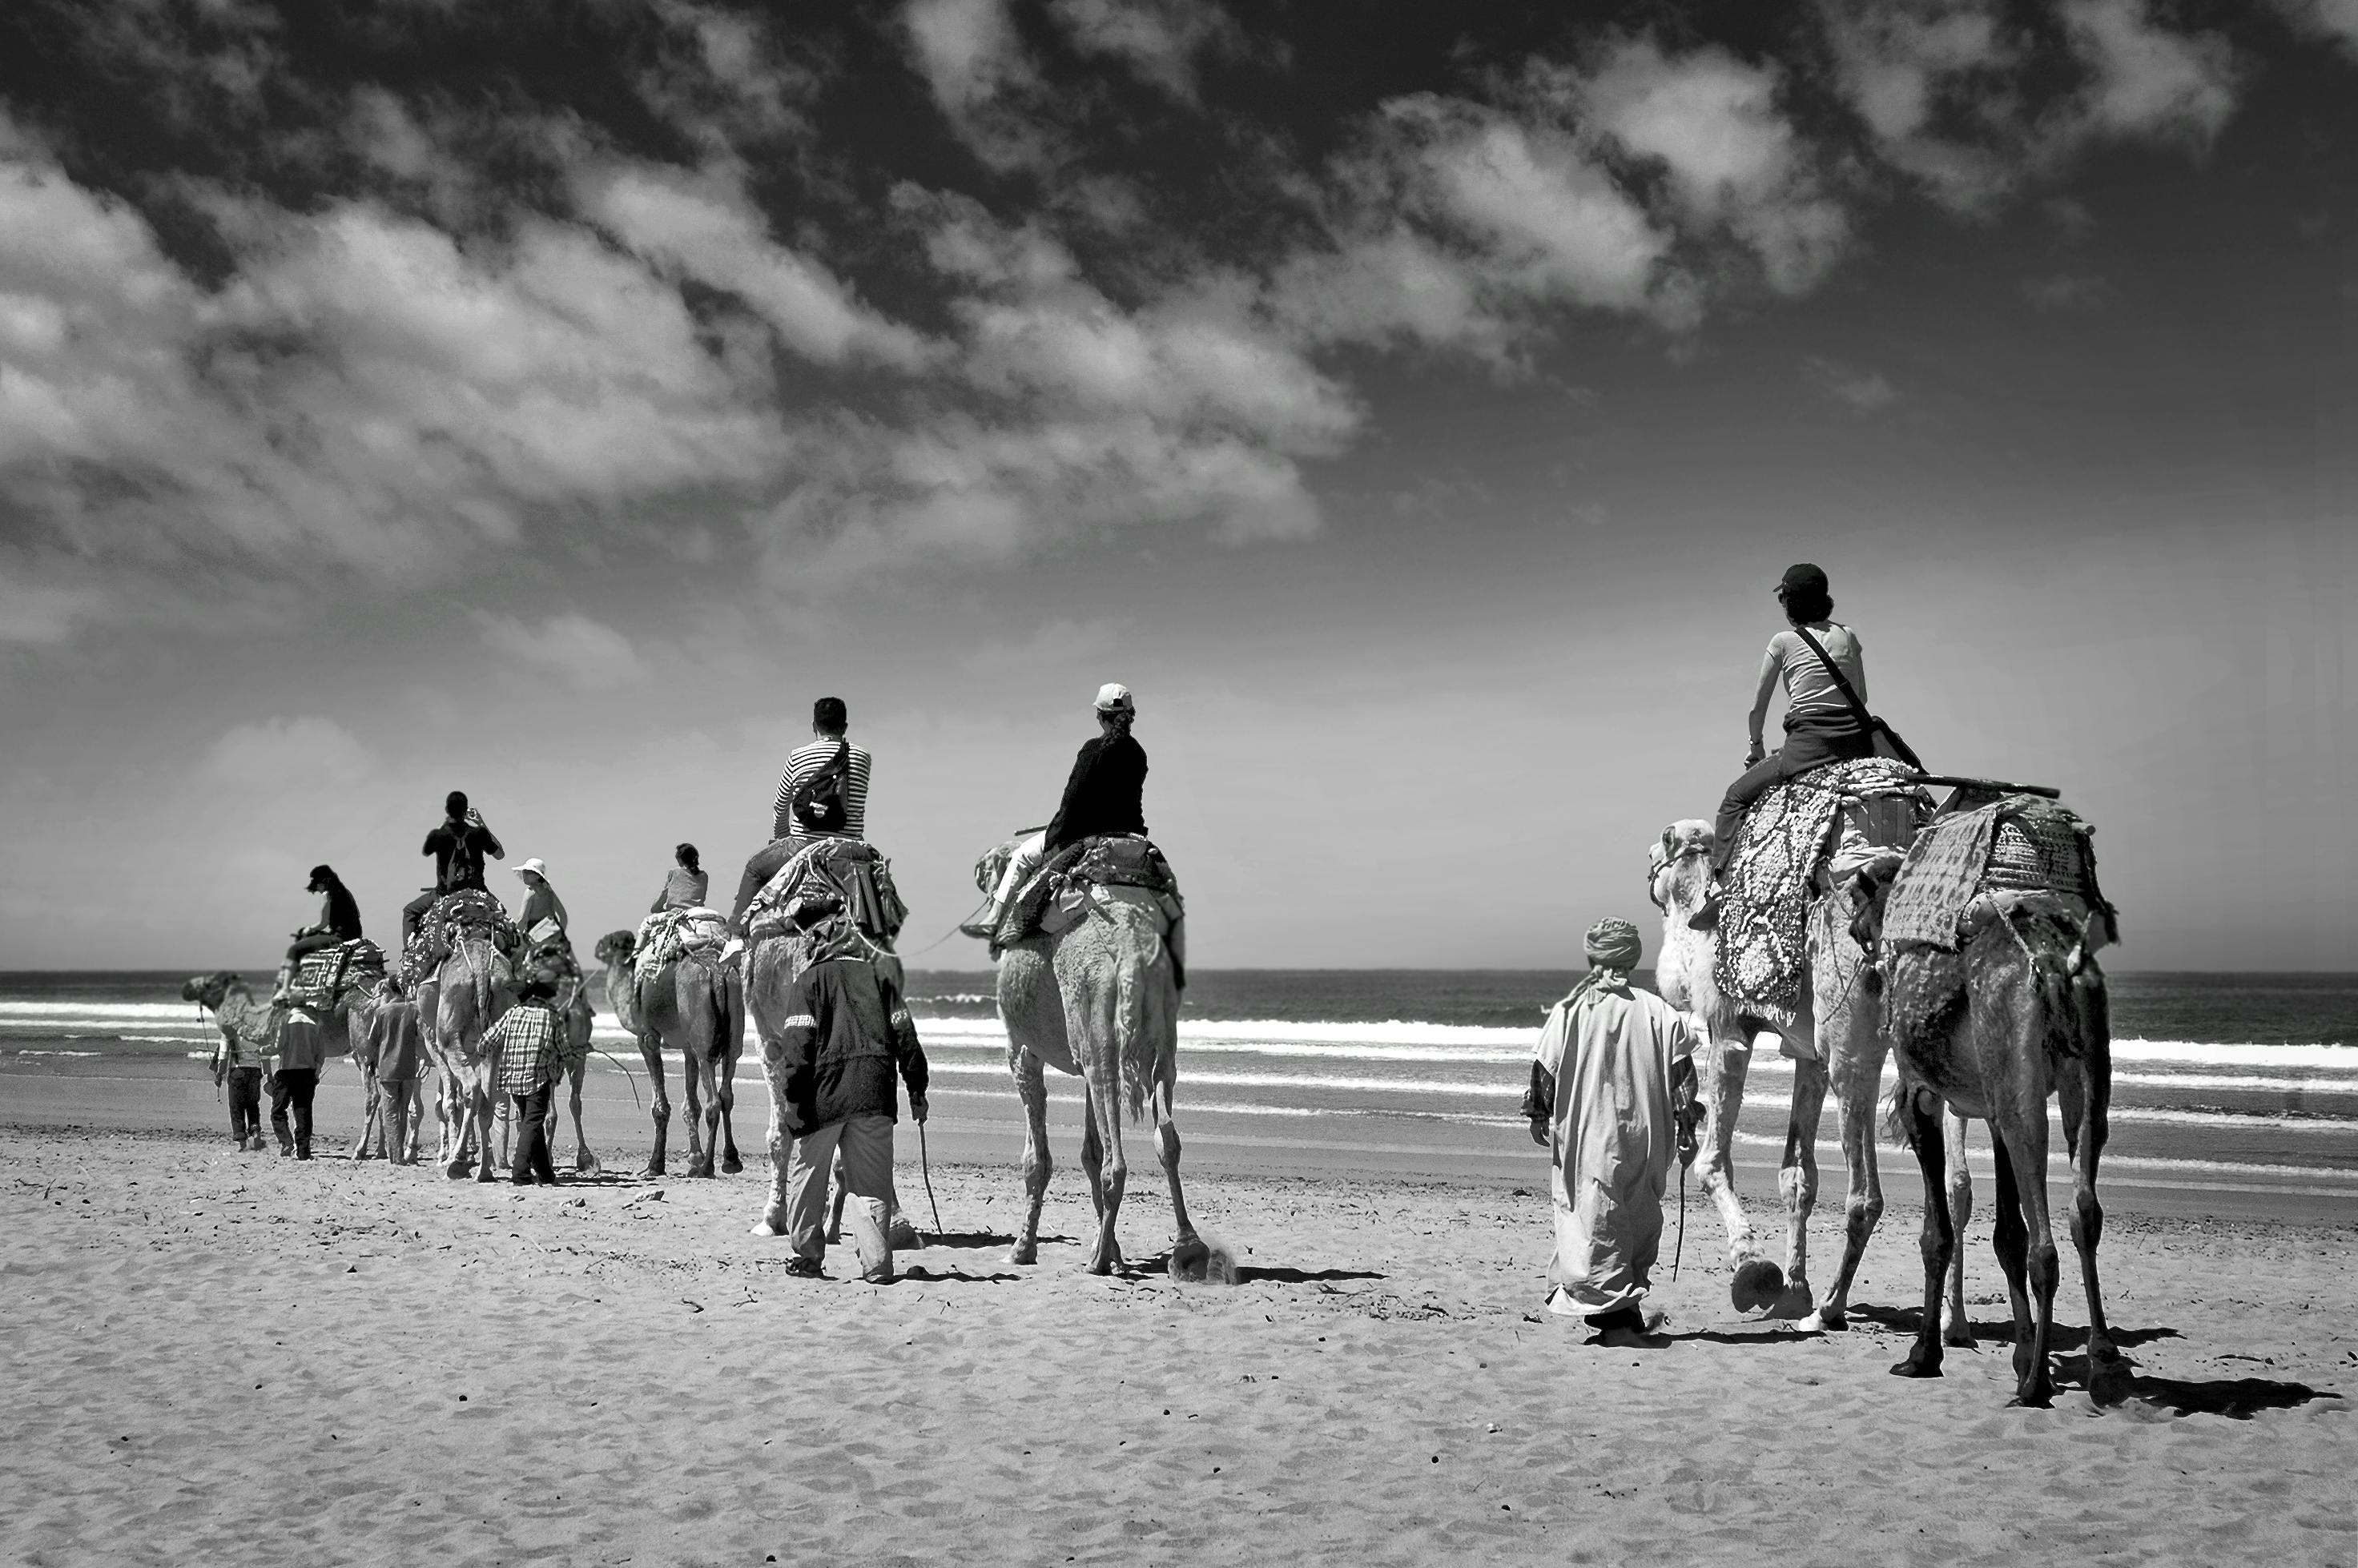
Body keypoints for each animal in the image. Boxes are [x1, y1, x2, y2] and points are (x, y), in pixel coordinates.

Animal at [594, 930, 744, 1178]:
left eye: (609, 942)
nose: (597, 947)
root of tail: (717, 973)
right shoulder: (687, 1046)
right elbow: (691, 1106)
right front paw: (694, 1158)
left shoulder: (648, 1038)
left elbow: (660, 1107)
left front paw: (655, 1166)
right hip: (734, 1031)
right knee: (727, 1094)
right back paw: (731, 1161)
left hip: (704, 1038)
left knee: (713, 1100)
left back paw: (707, 1168)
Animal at [1650, 818, 1972, 1338]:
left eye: (1660, 848)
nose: (1651, 871)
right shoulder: (1809, 1057)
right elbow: (1797, 1175)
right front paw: (1793, 1290)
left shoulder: (1730, 1028)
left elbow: (1711, 1161)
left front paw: (1753, 1266)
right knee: (1954, 1186)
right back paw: (1952, 1320)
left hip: (1854, 1054)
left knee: (1867, 1196)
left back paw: (1830, 1309)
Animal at [1859, 865, 2119, 1406]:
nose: (1859, 936)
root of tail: (2054, 964)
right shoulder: (1994, 1110)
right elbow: (2006, 1235)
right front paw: (2019, 1351)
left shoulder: (1920, 1096)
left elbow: (1936, 1234)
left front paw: (1923, 1355)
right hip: (2083, 1076)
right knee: (2083, 1210)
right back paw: (2103, 1359)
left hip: (2018, 1070)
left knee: (2046, 1243)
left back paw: (2036, 1384)